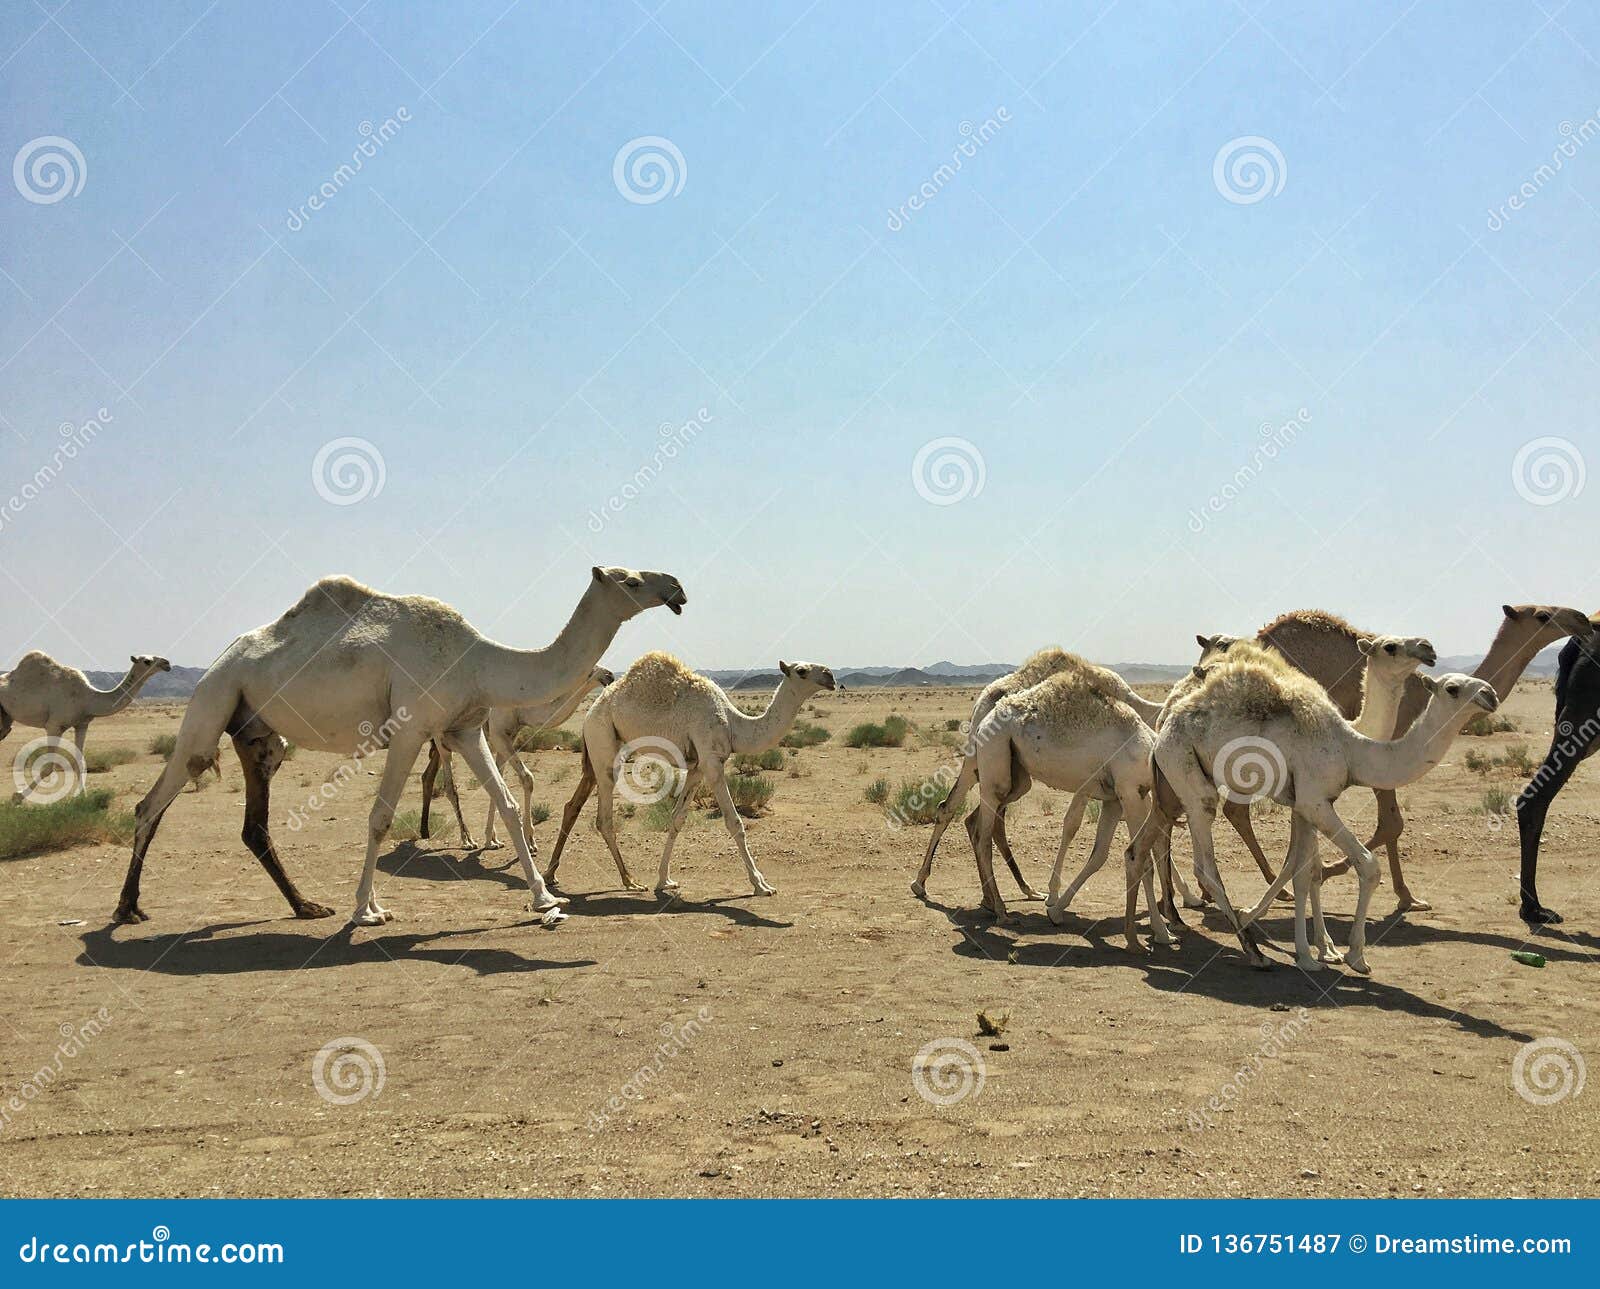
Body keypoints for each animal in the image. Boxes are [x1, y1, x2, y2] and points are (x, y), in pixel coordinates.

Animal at [0, 653, 171, 797]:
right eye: (147, 661)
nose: (167, 663)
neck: (87, 699)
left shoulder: (82, 724)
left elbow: (80, 762)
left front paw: (83, 797)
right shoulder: (54, 725)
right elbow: (48, 767)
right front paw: (18, 796)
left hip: (6, 720)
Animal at [417, 665, 615, 848]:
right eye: (592, 670)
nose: (610, 675)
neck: (520, 710)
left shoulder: (507, 737)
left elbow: (499, 782)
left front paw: (492, 839)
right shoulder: (498, 735)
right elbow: (526, 777)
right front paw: (530, 840)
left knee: (430, 775)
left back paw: (427, 831)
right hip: (441, 738)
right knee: (450, 785)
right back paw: (467, 840)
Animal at [546, 653, 835, 897]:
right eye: (801, 671)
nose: (831, 676)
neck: (733, 724)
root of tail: (589, 713)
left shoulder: (697, 767)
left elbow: (676, 819)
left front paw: (664, 880)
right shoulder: (712, 762)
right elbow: (735, 823)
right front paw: (761, 885)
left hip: (600, 750)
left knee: (573, 805)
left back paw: (552, 875)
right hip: (603, 742)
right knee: (603, 818)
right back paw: (630, 881)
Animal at [1146, 654, 1500, 974]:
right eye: (1452, 688)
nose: (1491, 695)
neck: (1351, 750)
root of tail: (1164, 726)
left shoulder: (1304, 805)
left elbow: (1305, 873)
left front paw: (1310, 955)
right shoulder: (1316, 801)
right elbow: (1368, 865)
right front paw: (1356, 957)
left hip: (1173, 787)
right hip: (1187, 771)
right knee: (1204, 863)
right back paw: (1253, 952)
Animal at [1244, 604, 1591, 912]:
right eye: (1543, 615)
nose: (1583, 619)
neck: (1420, 696)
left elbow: (1383, 825)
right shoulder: (1381, 758)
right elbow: (1392, 824)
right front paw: (1400, 894)